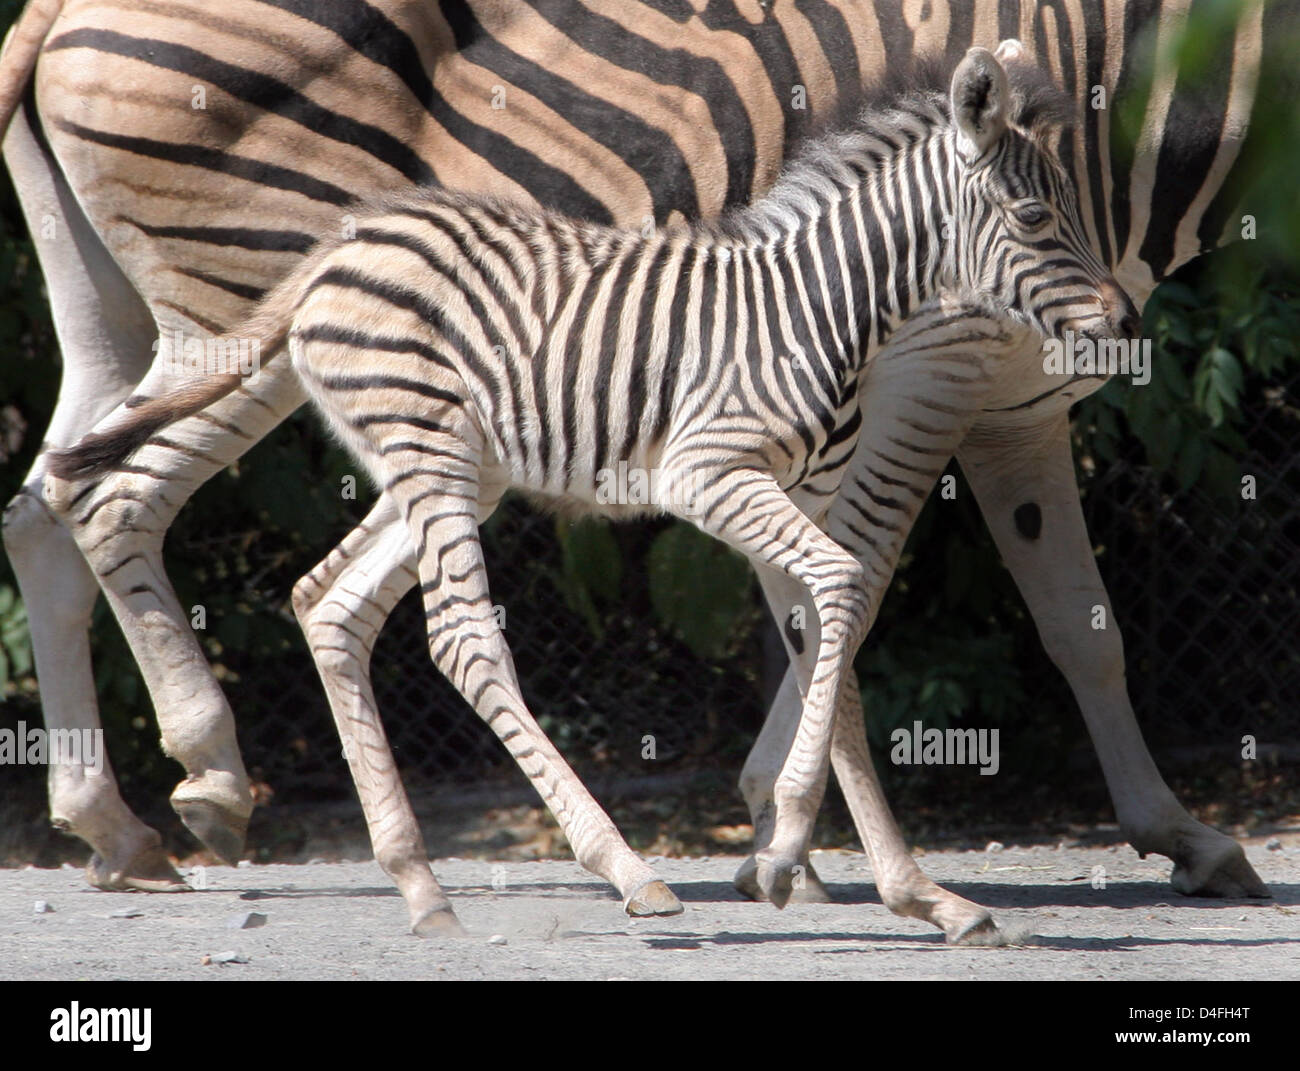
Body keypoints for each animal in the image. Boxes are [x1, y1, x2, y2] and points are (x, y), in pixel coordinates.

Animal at [0, 1, 1279, 937]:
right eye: (1029, 217)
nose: (1119, 324)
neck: (829, 307)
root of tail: (344, 247)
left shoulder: (811, 486)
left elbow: (844, 638)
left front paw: (894, 880)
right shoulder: (750, 466)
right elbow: (861, 603)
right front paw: (791, 849)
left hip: (409, 447)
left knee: (273, 579)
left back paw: (379, 872)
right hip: (275, 340)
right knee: (390, 608)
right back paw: (602, 865)